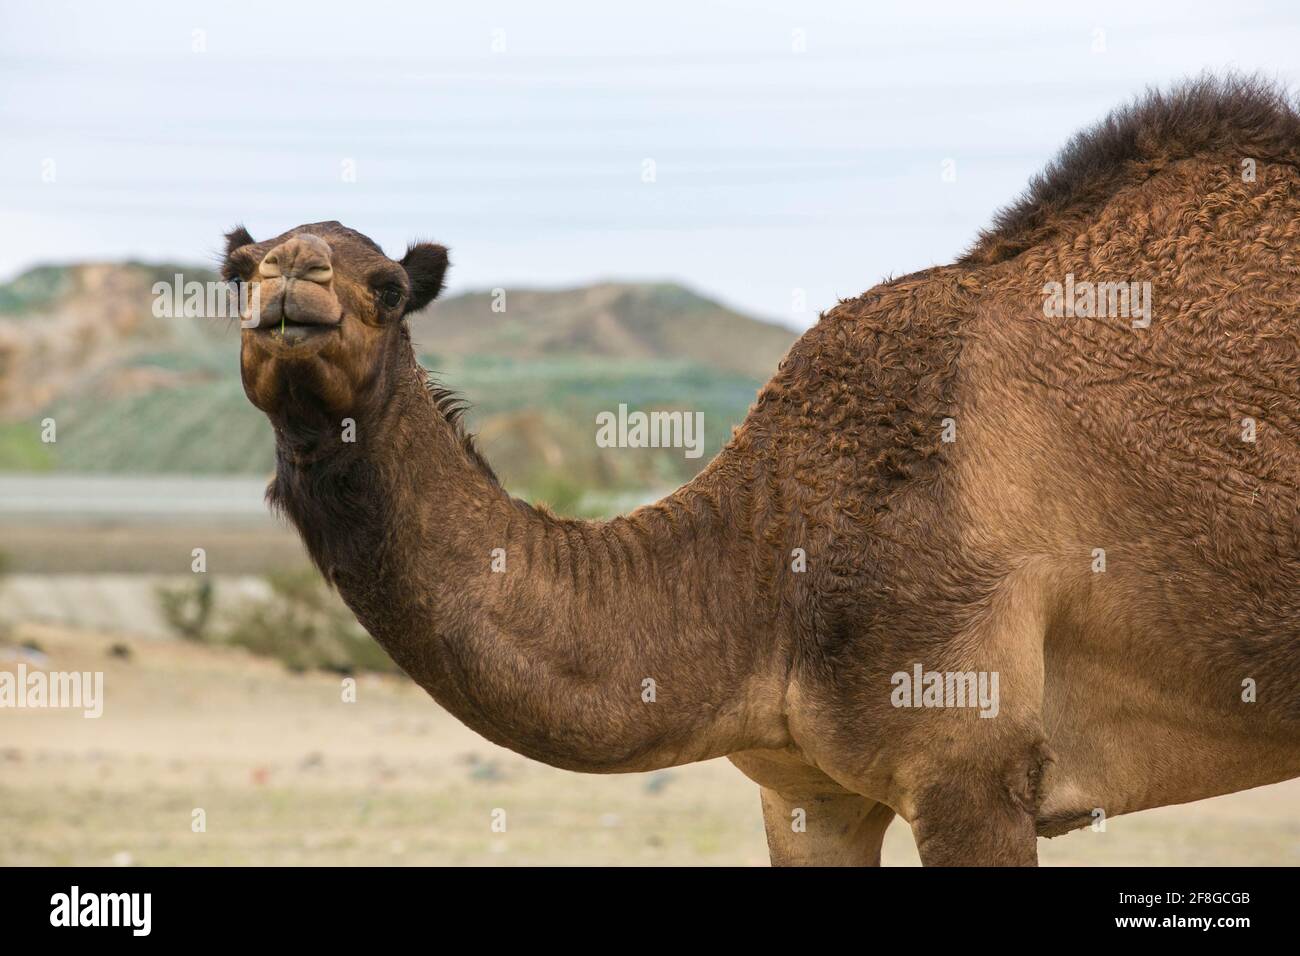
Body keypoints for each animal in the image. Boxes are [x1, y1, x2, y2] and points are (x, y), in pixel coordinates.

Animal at [230, 76, 1300, 866]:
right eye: (240, 269)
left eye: (388, 286)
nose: (293, 275)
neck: (772, 550)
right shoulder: (803, 793)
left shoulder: (972, 766)